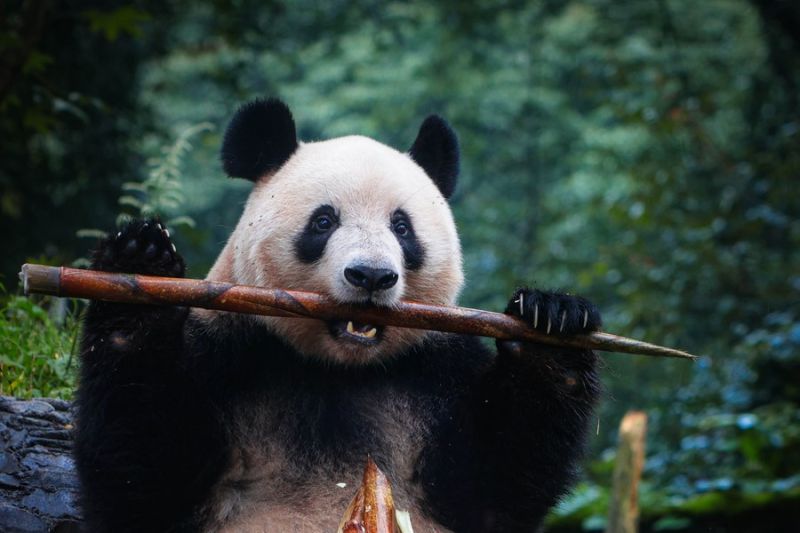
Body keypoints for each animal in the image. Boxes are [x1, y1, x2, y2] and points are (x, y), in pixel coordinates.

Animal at [74, 98, 601, 533]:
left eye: (402, 227)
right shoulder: (229, 350)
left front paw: (552, 323)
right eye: (324, 221)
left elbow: (496, 484)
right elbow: (142, 475)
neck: (339, 366)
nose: (371, 276)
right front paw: (139, 267)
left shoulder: (436, 370)